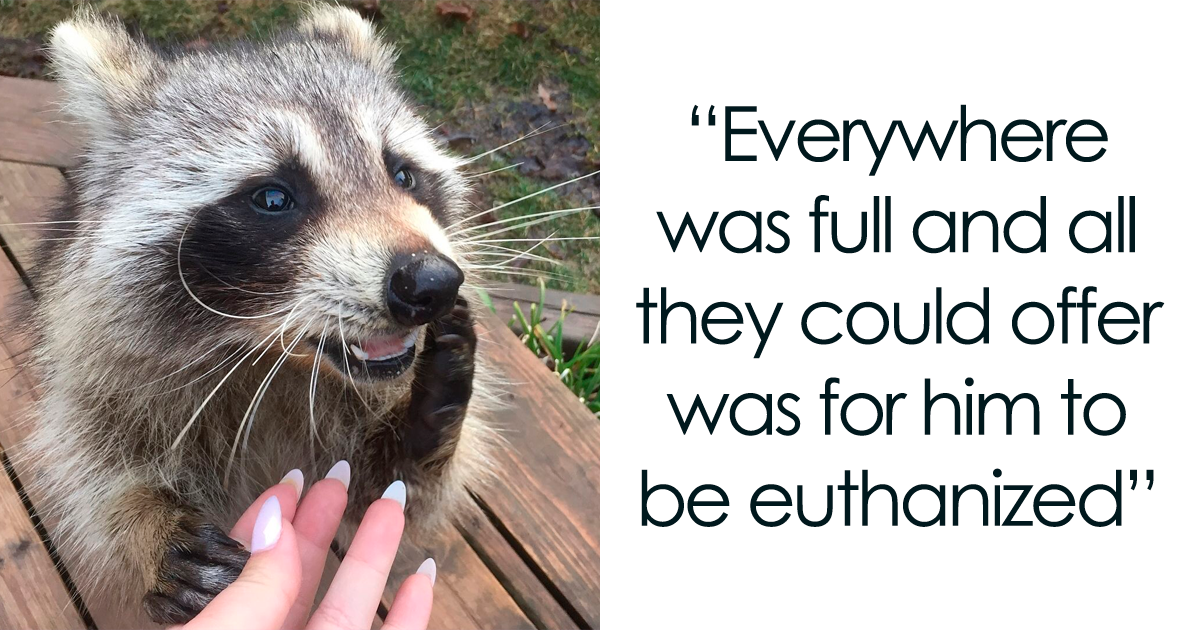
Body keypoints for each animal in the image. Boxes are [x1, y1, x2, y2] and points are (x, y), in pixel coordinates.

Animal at [20, 5, 498, 625]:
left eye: (402, 174)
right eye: (273, 198)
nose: (432, 284)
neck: (267, 357)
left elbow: (387, 488)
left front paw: (423, 418)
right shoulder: (93, 345)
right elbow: (90, 448)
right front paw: (140, 521)